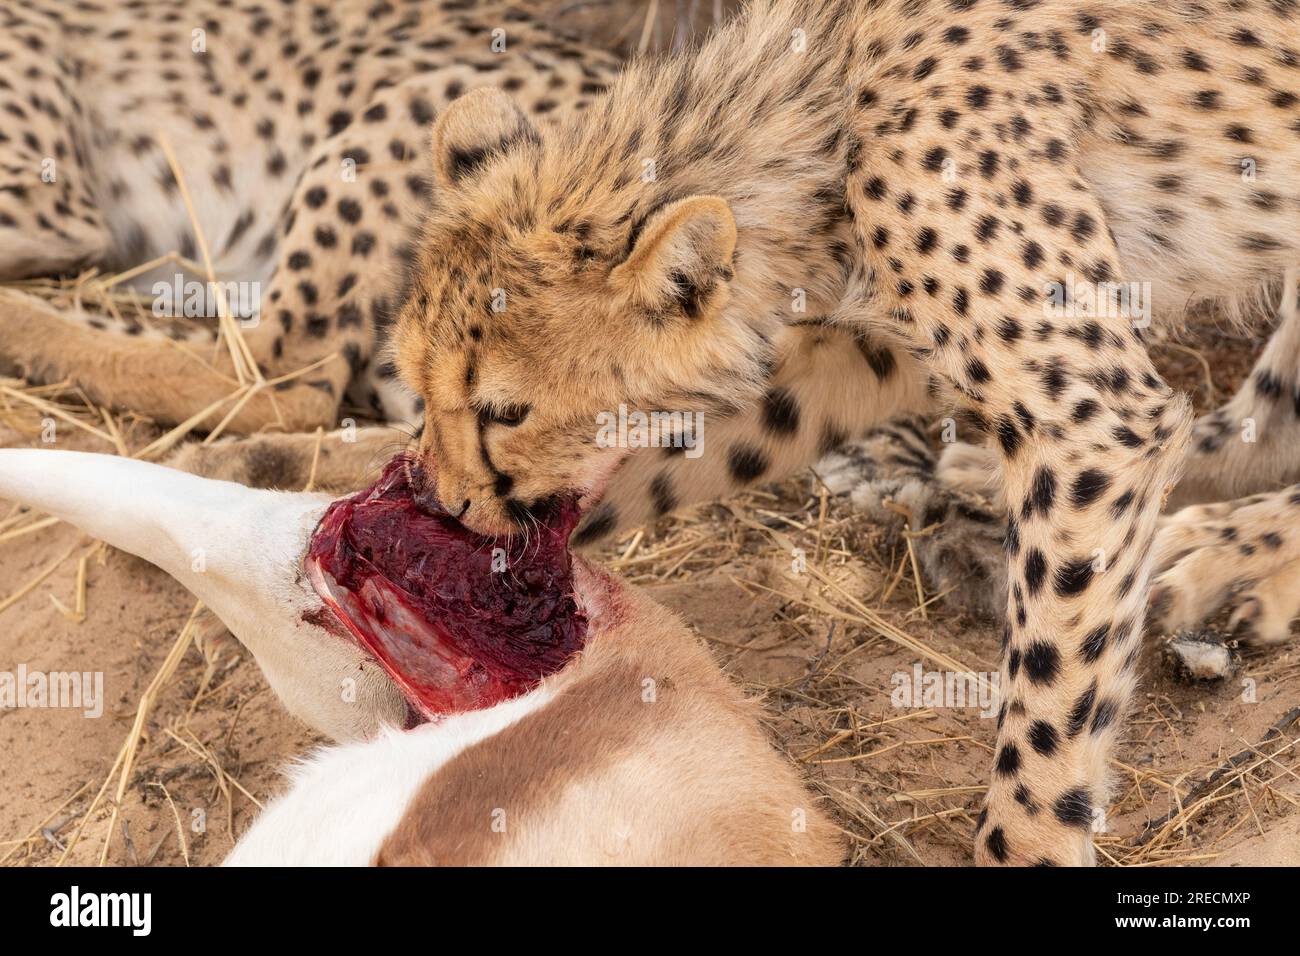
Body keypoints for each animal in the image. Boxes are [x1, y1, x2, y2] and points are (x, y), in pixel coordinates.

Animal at [1, 0, 1298, 866]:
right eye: (425, 383)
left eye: (504, 408)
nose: (453, 502)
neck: (807, 125)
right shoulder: (870, 347)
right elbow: (686, 454)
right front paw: (374, 529)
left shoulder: (1092, 413)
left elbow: (1049, 712)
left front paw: (1023, 841)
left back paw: (1213, 556)